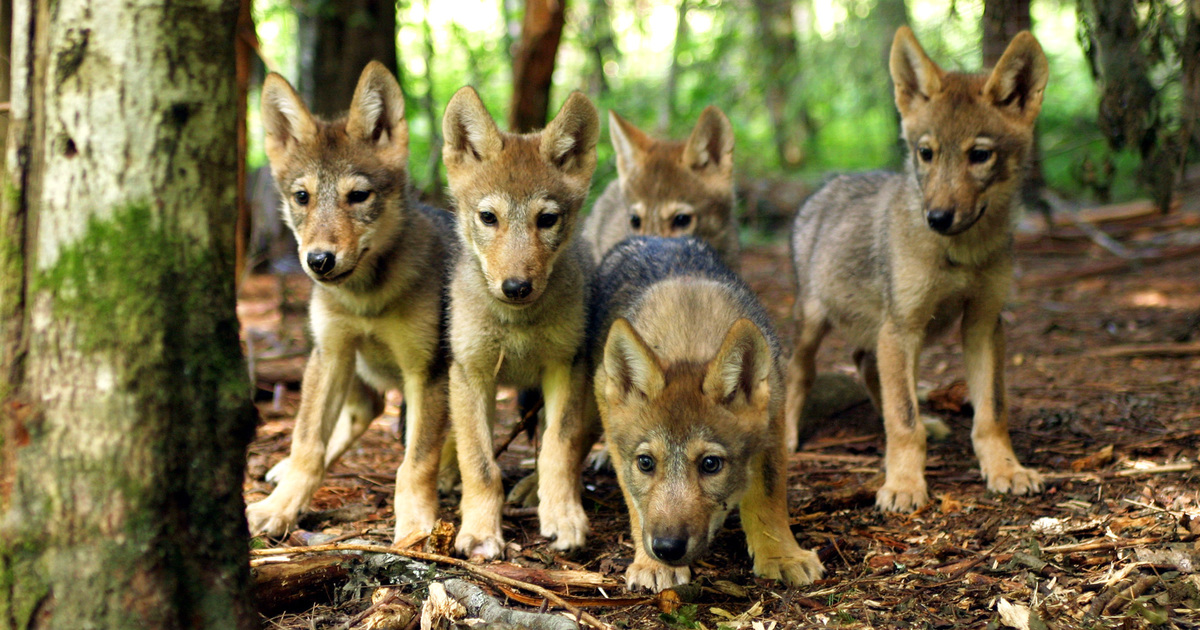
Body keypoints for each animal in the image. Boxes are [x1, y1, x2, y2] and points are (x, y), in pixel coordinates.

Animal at [245, 62, 457, 543]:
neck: (367, 299)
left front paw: (416, 529)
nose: (319, 260)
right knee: (362, 414)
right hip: (353, 368)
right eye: (302, 197)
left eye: (358, 196)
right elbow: (307, 443)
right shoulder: (331, 352)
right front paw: (279, 508)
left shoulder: (426, 371)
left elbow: (415, 463)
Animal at [441, 86, 601, 559]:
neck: (516, 325)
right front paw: (479, 531)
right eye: (488, 217)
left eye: (546, 219)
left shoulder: (566, 367)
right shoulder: (472, 373)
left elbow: (558, 449)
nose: (516, 286)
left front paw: (563, 516)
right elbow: (480, 464)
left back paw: (532, 490)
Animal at [592, 236, 824, 592]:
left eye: (710, 464)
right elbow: (637, 505)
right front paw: (651, 565)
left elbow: (768, 500)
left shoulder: (773, 419)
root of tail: (660, 237)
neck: (688, 336)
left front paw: (781, 556)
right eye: (645, 463)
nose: (666, 549)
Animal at [784, 26, 1049, 512]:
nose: (938, 217)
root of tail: (829, 184)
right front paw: (904, 484)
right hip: (819, 324)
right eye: (926, 152)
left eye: (979, 155)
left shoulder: (983, 323)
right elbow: (902, 420)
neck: (960, 253)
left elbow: (991, 412)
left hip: (913, 331)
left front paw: (1006, 470)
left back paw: (930, 423)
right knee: (800, 374)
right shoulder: (902, 328)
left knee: (865, 365)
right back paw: (790, 438)